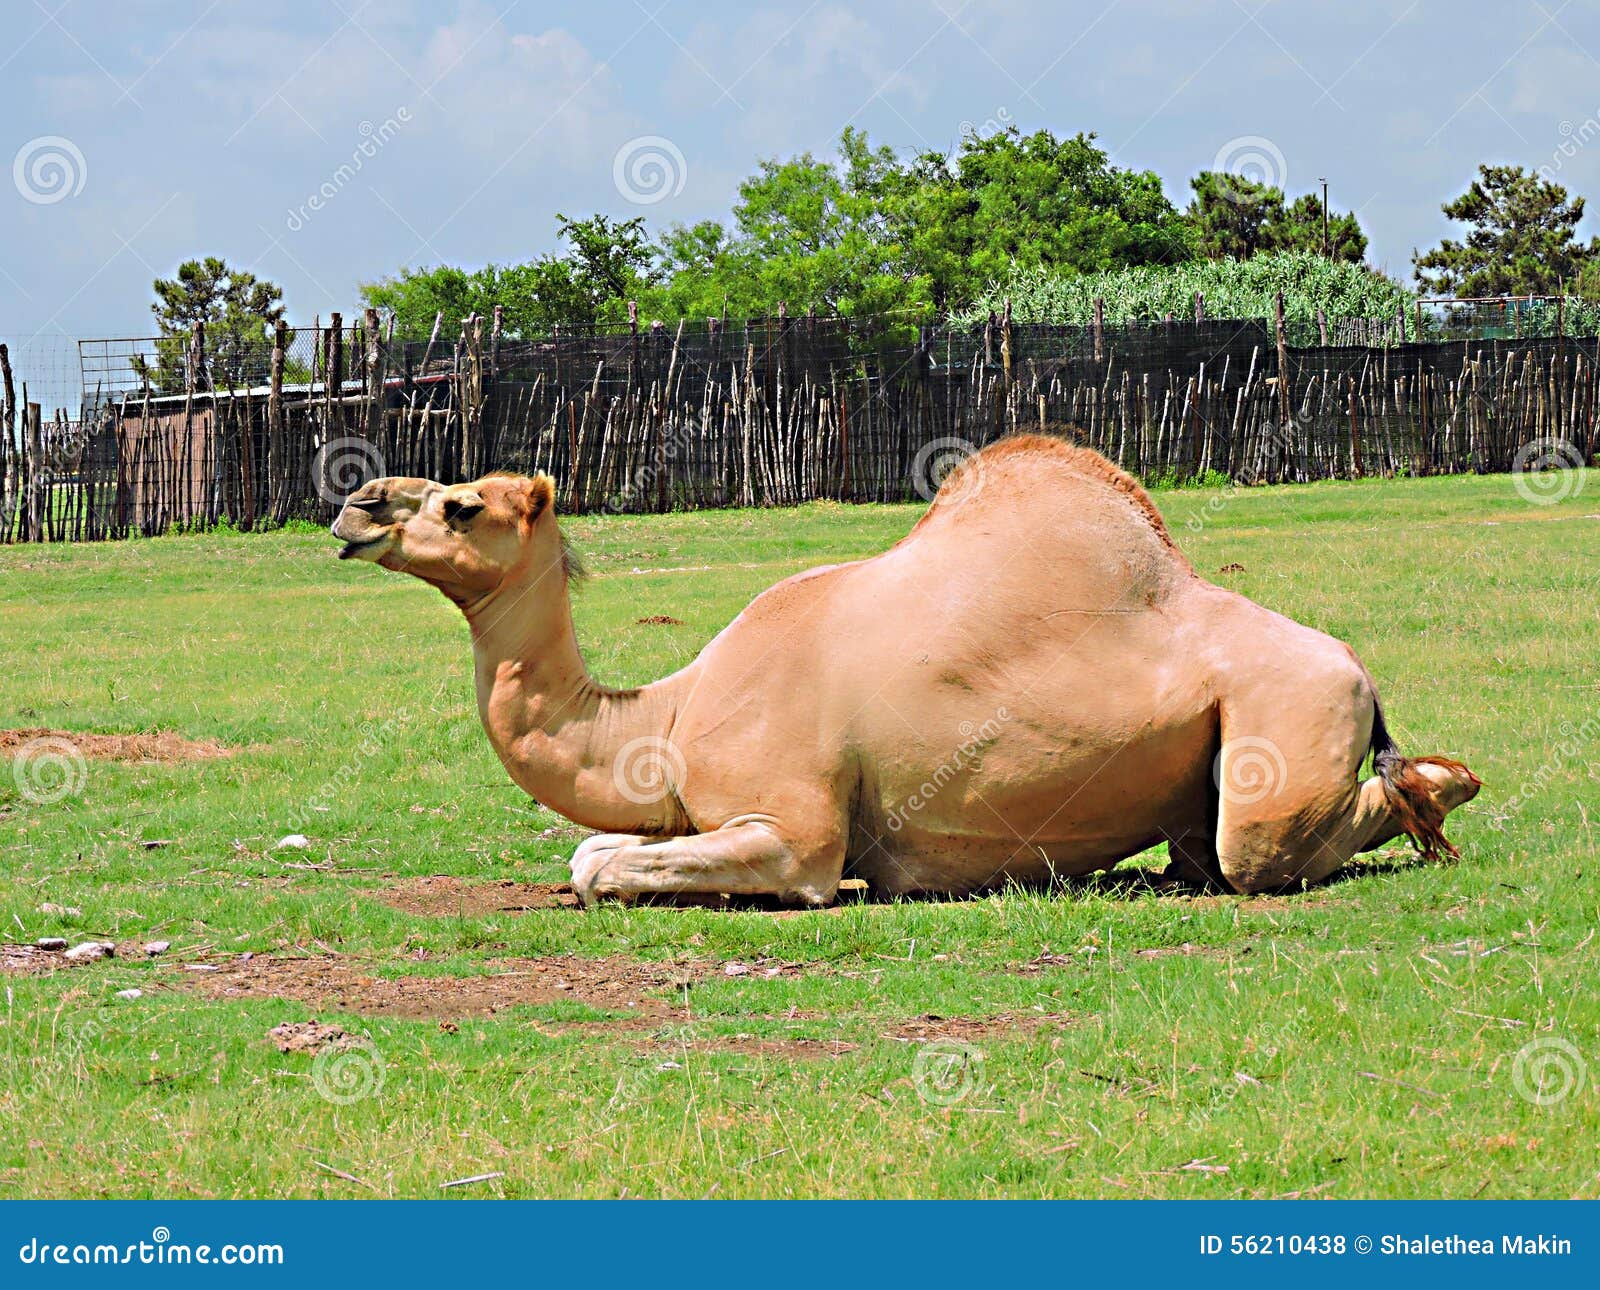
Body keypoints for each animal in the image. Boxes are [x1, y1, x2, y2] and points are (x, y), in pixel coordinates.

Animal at [331, 434, 1480, 906]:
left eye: (460, 505)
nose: (354, 503)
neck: (669, 713)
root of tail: (1357, 669)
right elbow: (592, 853)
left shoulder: (791, 829)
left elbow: (605, 869)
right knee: (1218, 848)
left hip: (1284, 728)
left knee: (1286, 839)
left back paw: (1448, 786)